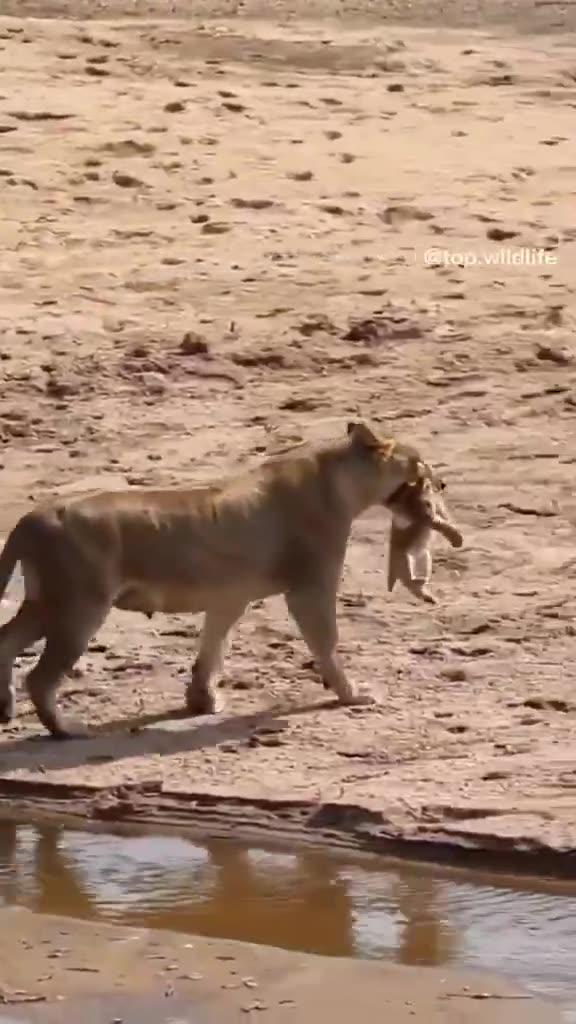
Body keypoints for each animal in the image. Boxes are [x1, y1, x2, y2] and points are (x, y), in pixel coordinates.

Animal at [0, 420, 442, 739]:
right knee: (39, 677)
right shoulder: (310, 586)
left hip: (46, 602)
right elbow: (327, 642)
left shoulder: (231, 596)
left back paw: (5, 709)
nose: (441, 484)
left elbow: (213, 647)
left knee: (6, 640)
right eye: (419, 464)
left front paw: (201, 701)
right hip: (80, 606)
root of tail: (32, 516)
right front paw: (352, 695)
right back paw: (68, 730)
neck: (340, 480)